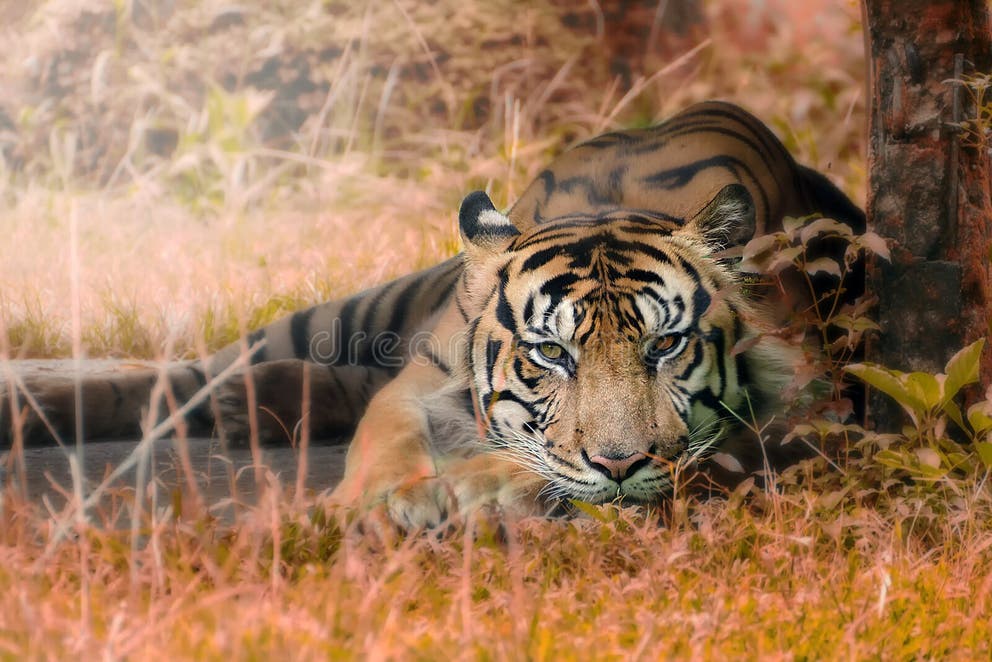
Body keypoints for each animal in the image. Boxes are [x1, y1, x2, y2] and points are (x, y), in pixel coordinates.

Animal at [1, 101, 864, 529]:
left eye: (667, 346)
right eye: (551, 354)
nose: (621, 463)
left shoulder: (805, 403)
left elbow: (535, 459)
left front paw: (466, 487)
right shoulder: (422, 375)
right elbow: (384, 439)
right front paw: (379, 498)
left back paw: (265, 407)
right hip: (346, 311)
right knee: (177, 378)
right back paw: (36, 409)